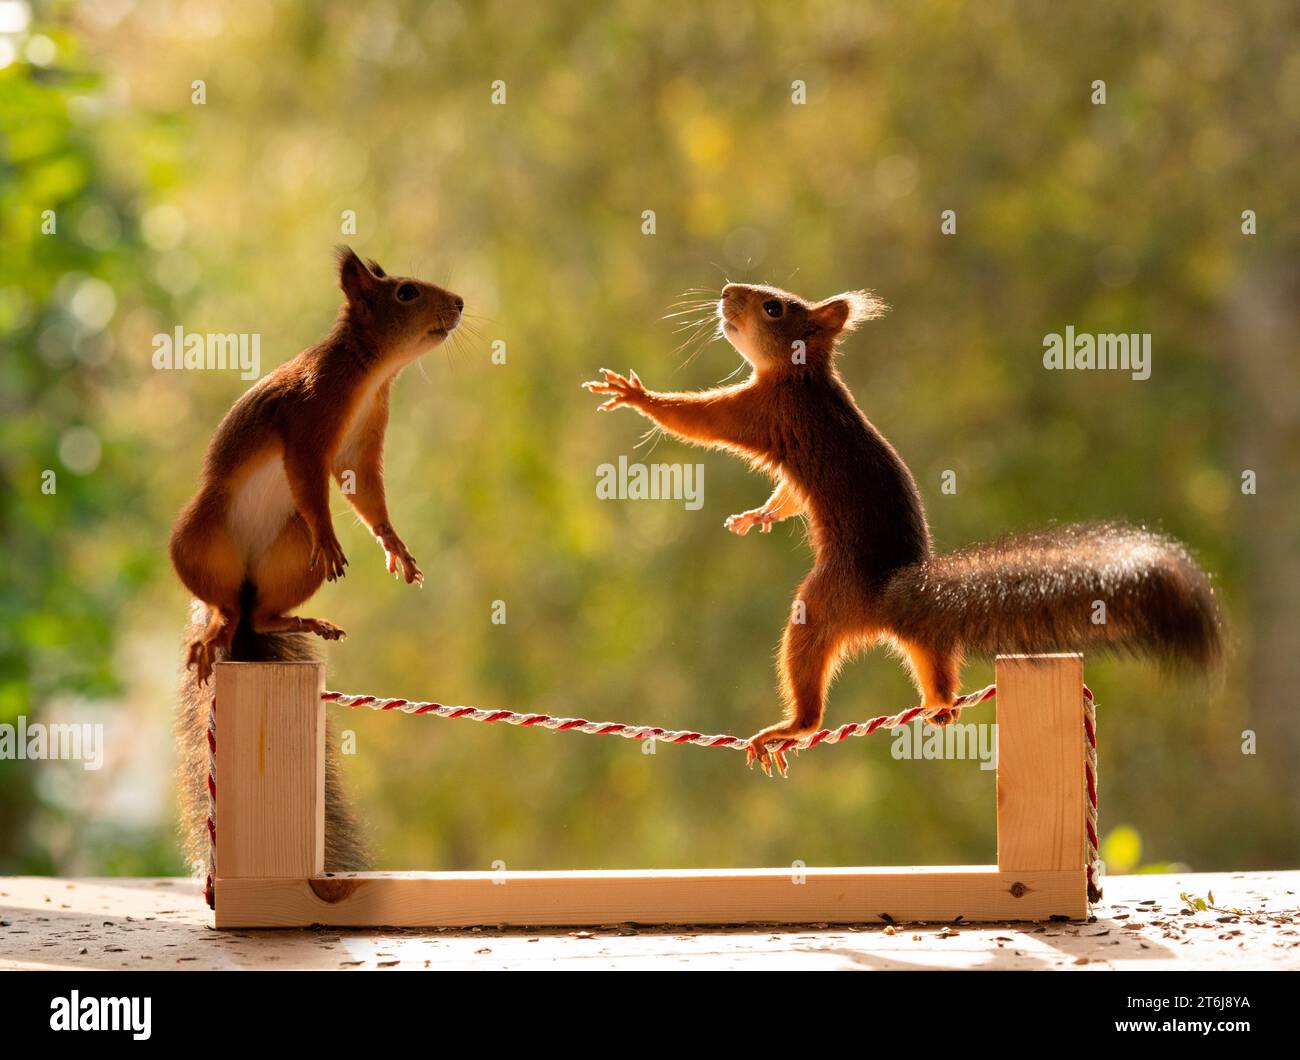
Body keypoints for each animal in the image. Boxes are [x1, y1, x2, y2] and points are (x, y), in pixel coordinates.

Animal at [172, 247, 463, 873]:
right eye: (405, 291)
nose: (457, 303)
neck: (371, 373)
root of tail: (242, 587)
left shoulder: (361, 441)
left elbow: (365, 493)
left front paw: (395, 548)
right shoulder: (304, 419)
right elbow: (311, 483)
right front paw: (331, 536)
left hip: (289, 556)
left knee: (259, 616)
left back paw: (296, 619)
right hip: (199, 533)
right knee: (220, 600)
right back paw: (214, 629)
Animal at [584, 282, 1222, 776]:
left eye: (772, 307)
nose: (724, 293)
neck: (804, 376)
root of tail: (888, 595)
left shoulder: (762, 412)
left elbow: (698, 420)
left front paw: (637, 395)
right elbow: (787, 496)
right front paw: (758, 516)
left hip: (819, 604)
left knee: (809, 685)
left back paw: (789, 729)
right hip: (922, 641)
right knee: (934, 658)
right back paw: (941, 702)